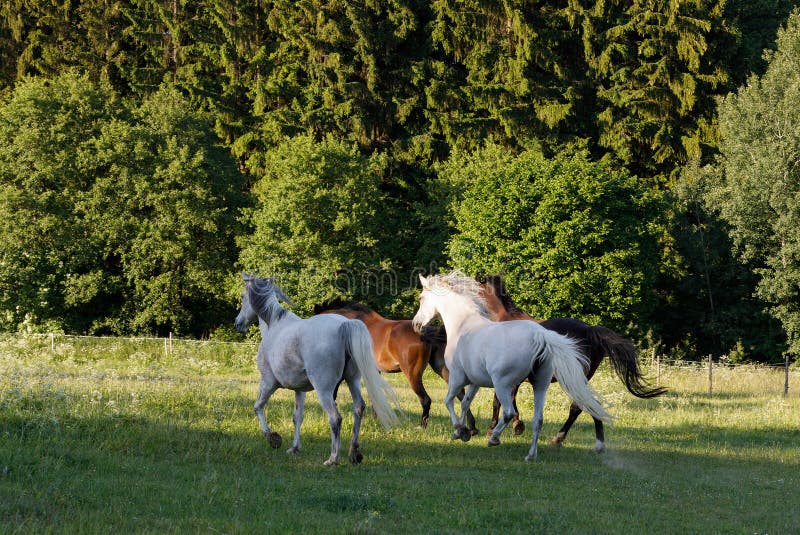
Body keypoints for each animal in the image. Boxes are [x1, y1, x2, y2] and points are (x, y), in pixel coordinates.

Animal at [234, 274, 399, 466]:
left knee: (335, 418)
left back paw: (333, 459)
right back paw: (353, 453)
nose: (238, 323)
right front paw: (294, 448)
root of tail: (345, 325)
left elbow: (258, 407)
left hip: (323, 389)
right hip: (353, 381)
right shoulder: (299, 390)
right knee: (358, 408)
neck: (274, 325)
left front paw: (273, 438)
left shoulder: (268, 382)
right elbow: (297, 417)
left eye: (243, 297)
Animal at [313, 299, 478, 434]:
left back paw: (421, 427)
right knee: (462, 395)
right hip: (443, 370)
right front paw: (377, 419)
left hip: (413, 374)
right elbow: (375, 395)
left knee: (426, 400)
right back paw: (471, 427)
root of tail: (426, 332)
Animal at [411, 271, 613, 461]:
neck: (464, 326)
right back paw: (532, 455)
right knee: (539, 419)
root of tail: (540, 336)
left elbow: (449, 401)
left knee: (510, 411)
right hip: (541, 384)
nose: (416, 324)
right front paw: (462, 432)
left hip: (503, 384)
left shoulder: (457, 377)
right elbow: (465, 403)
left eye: (421, 298)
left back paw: (494, 438)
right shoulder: (475, 382)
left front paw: (460, 430)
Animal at [478, 274, 666, 452]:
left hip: (571, 379)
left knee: (580, 406)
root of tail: (590, 330)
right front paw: (516, 425)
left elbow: (499, 400)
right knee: (586, 405)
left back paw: (559, 439)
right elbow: (509, 399)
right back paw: (591, 444)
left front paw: (497, 428)